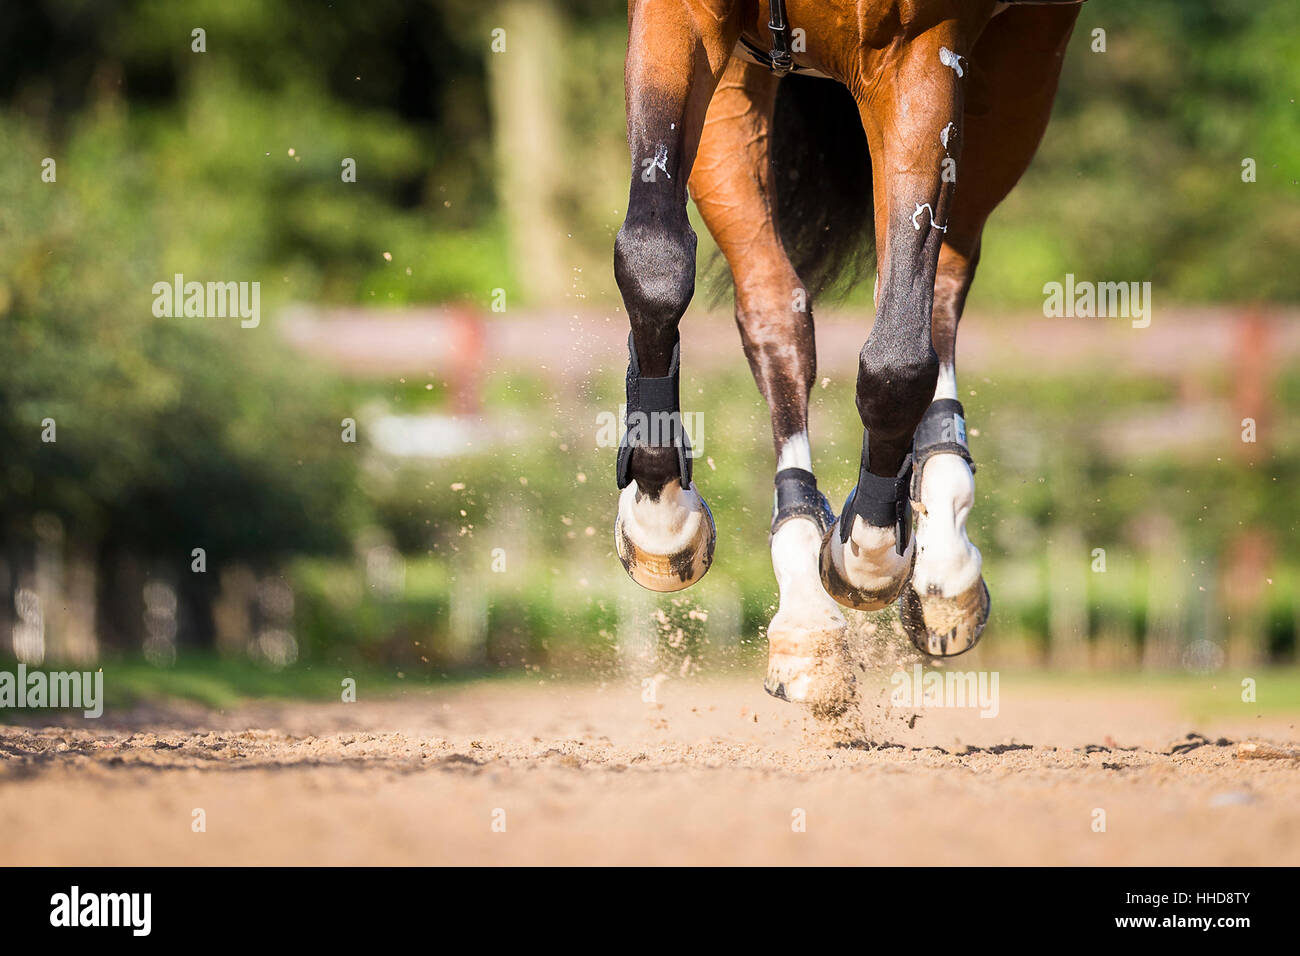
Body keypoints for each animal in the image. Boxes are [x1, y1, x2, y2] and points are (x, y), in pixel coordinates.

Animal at [610, 0, 1083, 714]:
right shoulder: (684, 16)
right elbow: (654, 258)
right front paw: (659, 517)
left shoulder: (921, 54)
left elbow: (897, 360)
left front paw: (872, 551)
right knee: (774, 308)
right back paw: (805, 607)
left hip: (1021, 65)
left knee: (939, 284)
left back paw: (938, 547)